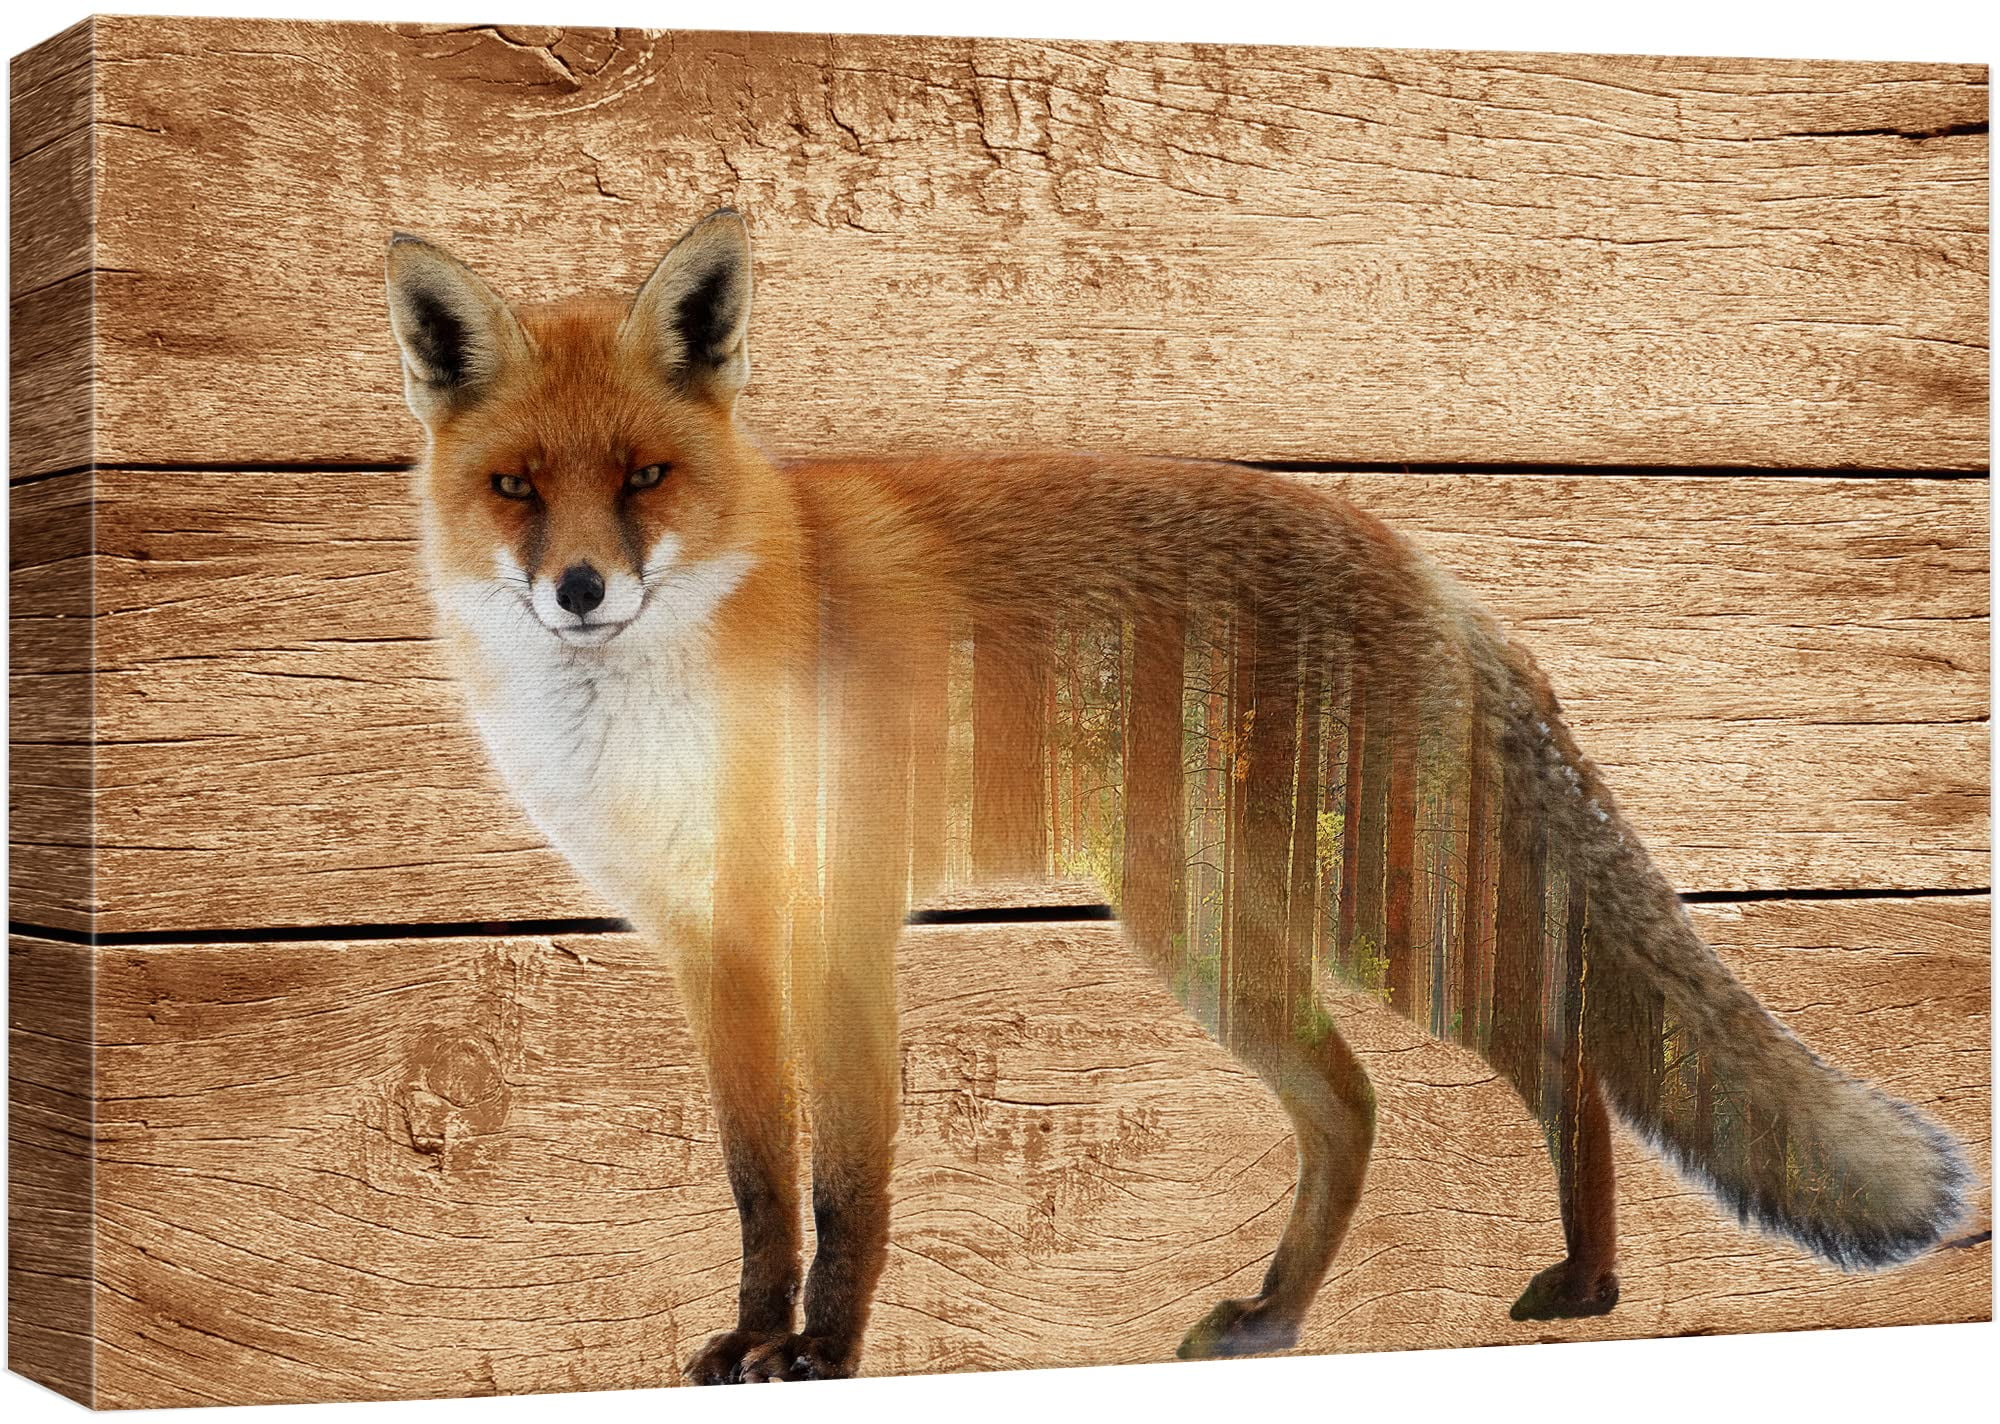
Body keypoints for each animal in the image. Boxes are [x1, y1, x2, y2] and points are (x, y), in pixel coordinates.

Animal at [385, 209, 1970, 1383]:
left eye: (646, 474)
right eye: (517, 487)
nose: (580, 590)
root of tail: (1431, 569)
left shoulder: (839, 920)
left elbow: (850, 1184)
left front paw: (823, 1354)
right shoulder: (713, 951)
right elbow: (759, 1183)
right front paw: (750, 1336)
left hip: (1373, 911)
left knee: (1561, 1051)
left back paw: (1584, 1281)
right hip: (1211, 934)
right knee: (1354, 1106)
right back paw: (1276, 1317)